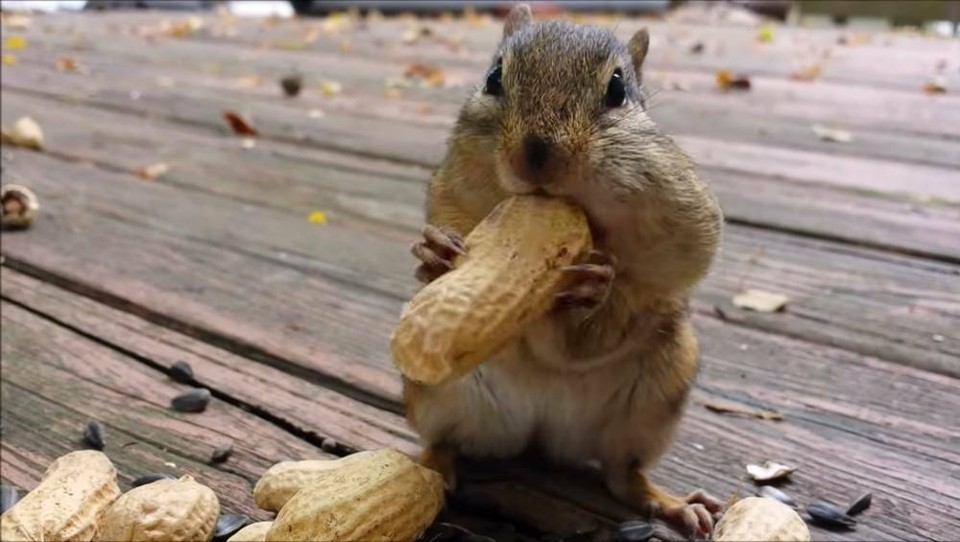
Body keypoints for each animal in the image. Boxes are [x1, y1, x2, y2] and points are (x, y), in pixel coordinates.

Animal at [403, 4, 724, 536]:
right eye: (494, 77)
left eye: (617, 89)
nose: (536, 156)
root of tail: (540, 433)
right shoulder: (452, 193)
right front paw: (435, 254)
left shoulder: (680, 235)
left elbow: (588, 337)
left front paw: (595, 288)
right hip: (438, 393)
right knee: (446, 442)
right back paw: (427, 467)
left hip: (654, 400)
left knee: (623, 475)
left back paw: (671, 502)